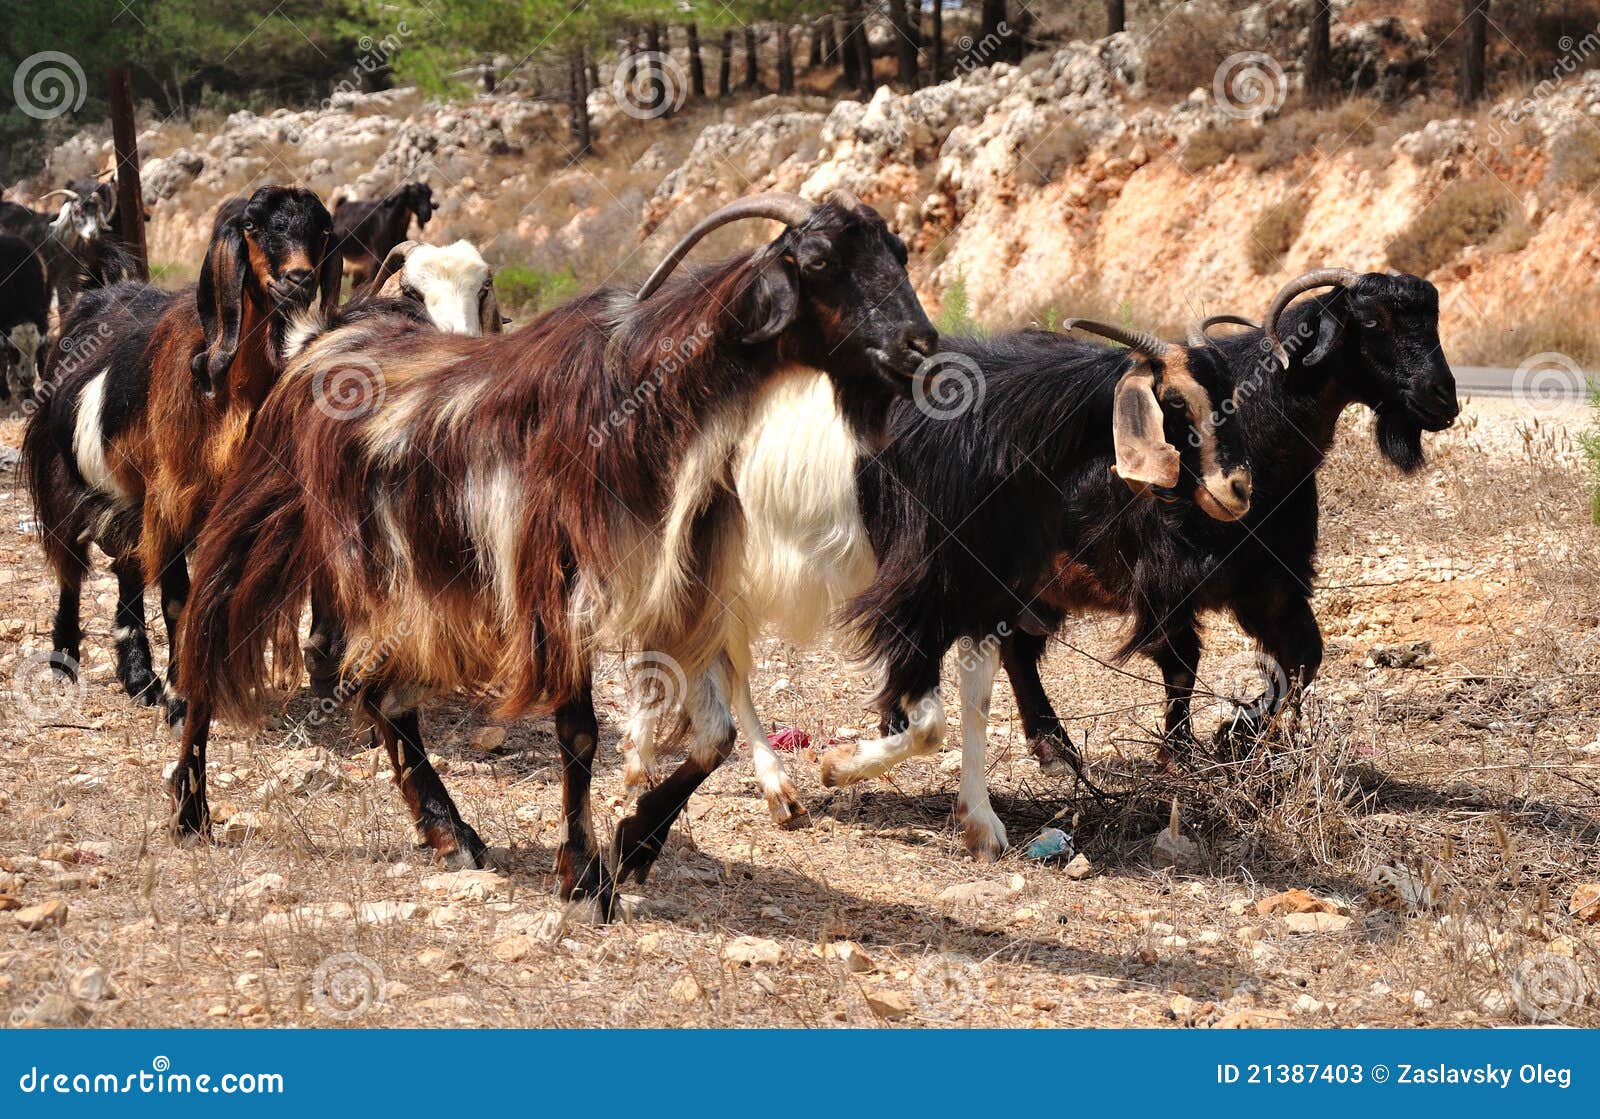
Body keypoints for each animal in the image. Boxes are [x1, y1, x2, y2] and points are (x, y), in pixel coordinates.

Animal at [21, 186, 340, 724]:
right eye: (253, 226)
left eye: (321, 228)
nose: (298, 279)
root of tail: (98, 293)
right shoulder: (171, 495)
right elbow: (176, 598)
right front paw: (181, 700)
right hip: (63, 475)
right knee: (71, 566)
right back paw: (66, 662)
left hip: (129, 497)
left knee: (126, 567)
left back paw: (137, 677)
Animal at [171, 192, 936, 914]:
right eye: (818, 261)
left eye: (899, 251)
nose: (920, 347)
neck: (649, 395)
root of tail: (319, 338)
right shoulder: (556, 578)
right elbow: (580, 732)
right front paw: (583, 872)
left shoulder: (681, 585)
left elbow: (713, 737)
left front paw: (632, 845)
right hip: (267, 519)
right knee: (207, 640)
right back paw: (190, 807)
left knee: (380, 694)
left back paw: (450, 832)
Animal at [622, 318, 1255, 859]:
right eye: (1175, 402)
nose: (1239, 490)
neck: (998, 434)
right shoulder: (915, 603)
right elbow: (929, 724)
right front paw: (837, 765)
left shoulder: (984, 599)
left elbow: (975, 704)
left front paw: (982, 826)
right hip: (719, 577)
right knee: (718, 662)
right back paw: (760, 788)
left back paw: (662, 763)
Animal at [991, 269, 1457, 777]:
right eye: (1372, 321)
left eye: (1434, 316)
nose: (1443, 399)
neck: (1258, 430)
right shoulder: (1166, 579)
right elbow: (1182, 662)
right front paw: (1179, 752)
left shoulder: (1273, 578)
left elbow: (1304, 656)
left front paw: (1237, 734)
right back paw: (1056, 751)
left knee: (1017, 646)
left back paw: (1055, 750)